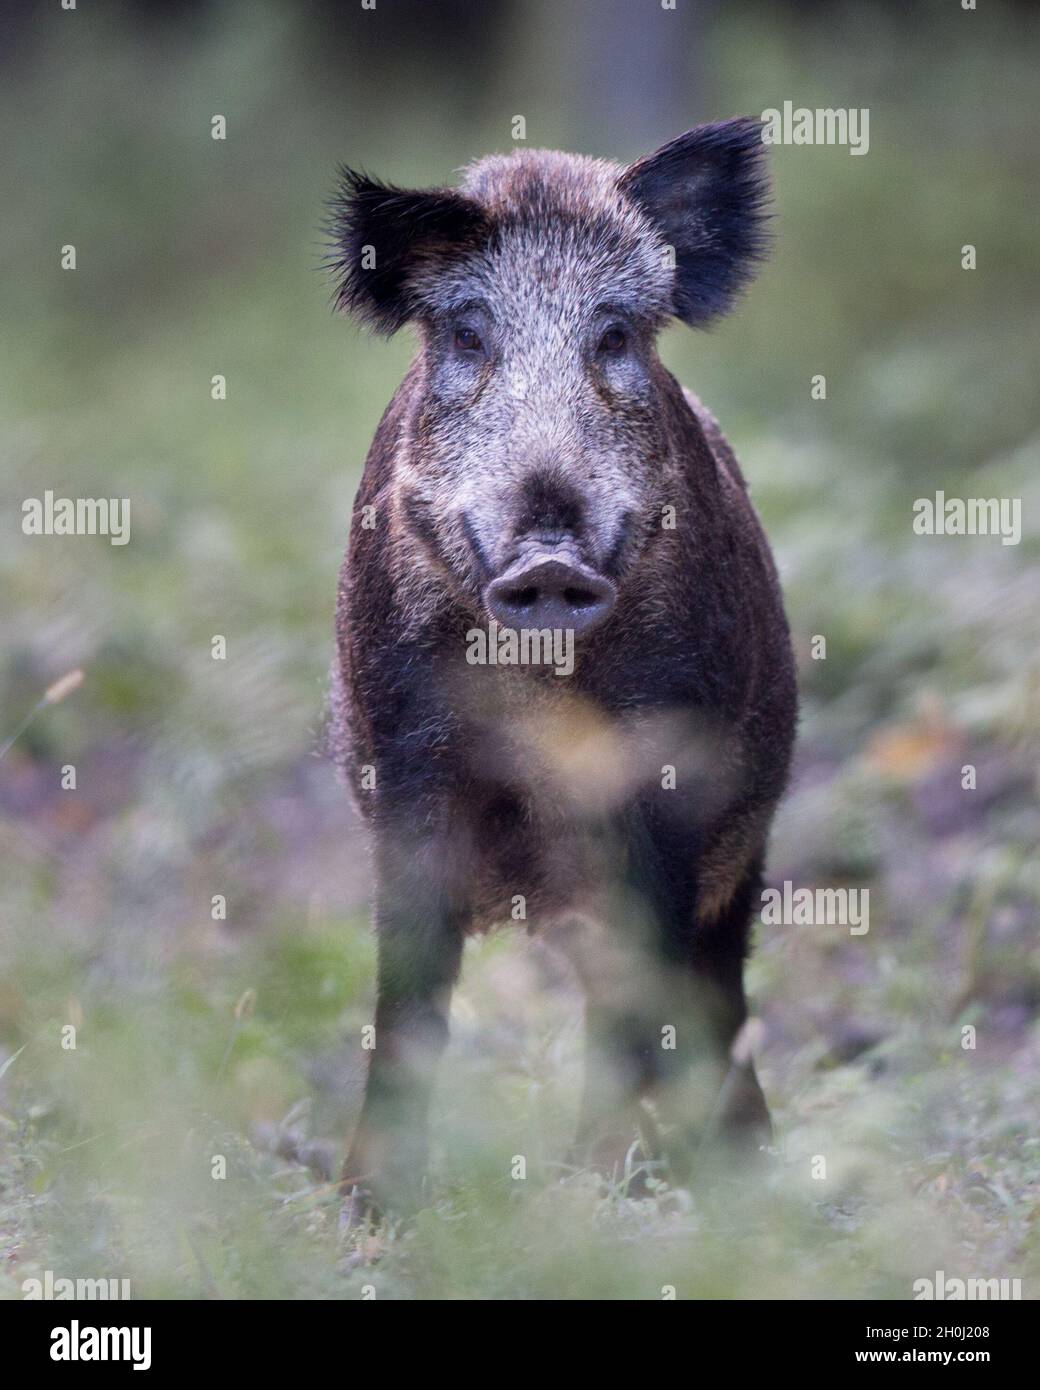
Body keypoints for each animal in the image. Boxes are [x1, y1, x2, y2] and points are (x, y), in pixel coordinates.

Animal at [327, 119, 798, 1214]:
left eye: (614, 337)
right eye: (467, 338)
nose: (549, 558)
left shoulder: (669, 766)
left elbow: (645, 992)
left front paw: (592, 1193)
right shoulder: (405, 753)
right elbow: (409, 985)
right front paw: (370, 1210)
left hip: (743, 846)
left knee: (710, 991)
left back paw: (743, 1171)